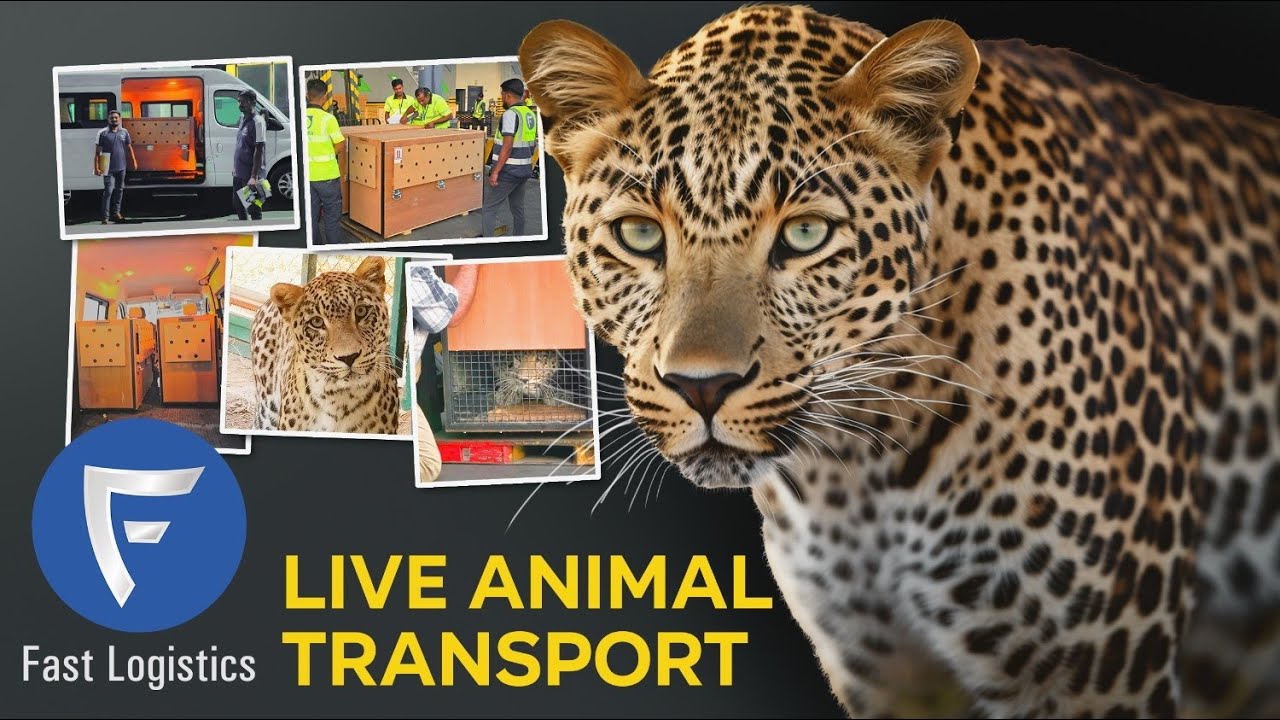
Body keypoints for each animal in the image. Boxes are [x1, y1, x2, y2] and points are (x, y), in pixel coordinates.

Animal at [520, 5, 1280, 718]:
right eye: (640, 235)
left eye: (805, 235)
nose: (702, 387)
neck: (857, 467)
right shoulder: (886, 669)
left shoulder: (1096, 669)